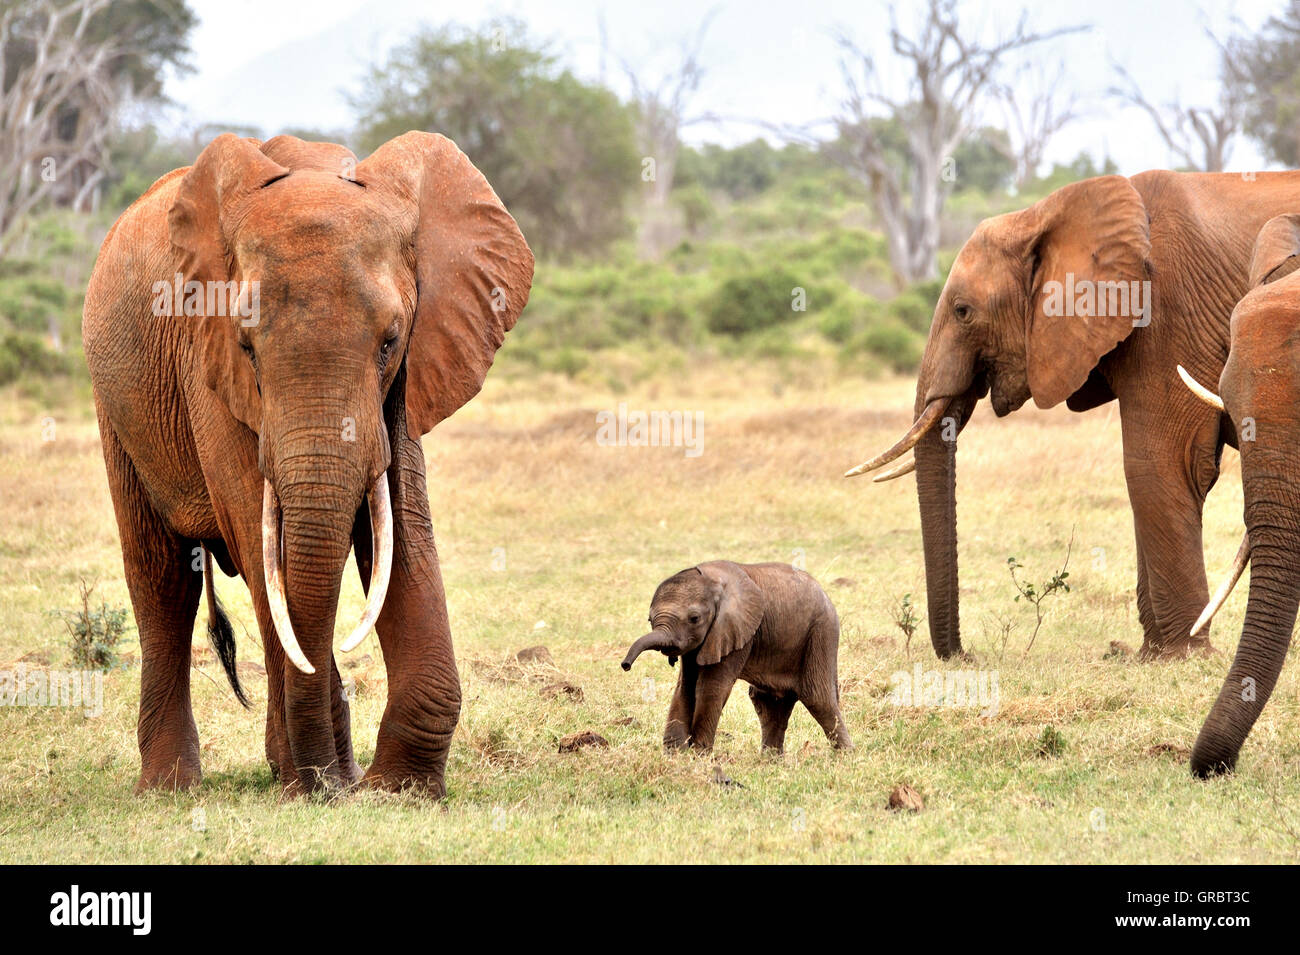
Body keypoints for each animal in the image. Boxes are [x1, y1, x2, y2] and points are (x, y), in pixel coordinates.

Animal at [82, 132, 533, 797]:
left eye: (391, 341)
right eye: (246, 346)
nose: (338, 785)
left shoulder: (407, 377)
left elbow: (400, 527)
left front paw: (399, 789)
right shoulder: (208, 364)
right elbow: (258, 529)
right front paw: (321, 785)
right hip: (115, 405)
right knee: (163, 578)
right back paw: (176, 787)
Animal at [620, 561, 851, 753]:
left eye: (694, 619)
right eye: (649, 619)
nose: (625, 665)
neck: (713, 582)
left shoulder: (736, 630)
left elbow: (711, 686)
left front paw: (699, 754)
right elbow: (685, 686)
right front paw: (675, 753)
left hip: (821, 632)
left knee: (818, 698)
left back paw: (845, 756)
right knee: (769, 702)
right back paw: (769, 761)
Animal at [846, 171, 1300, 662]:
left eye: (963, 312)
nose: (965, 656)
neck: (1043, 213)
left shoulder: (1171, 316)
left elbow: (1156, 465)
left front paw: (1183, 656)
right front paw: (1151, 655)